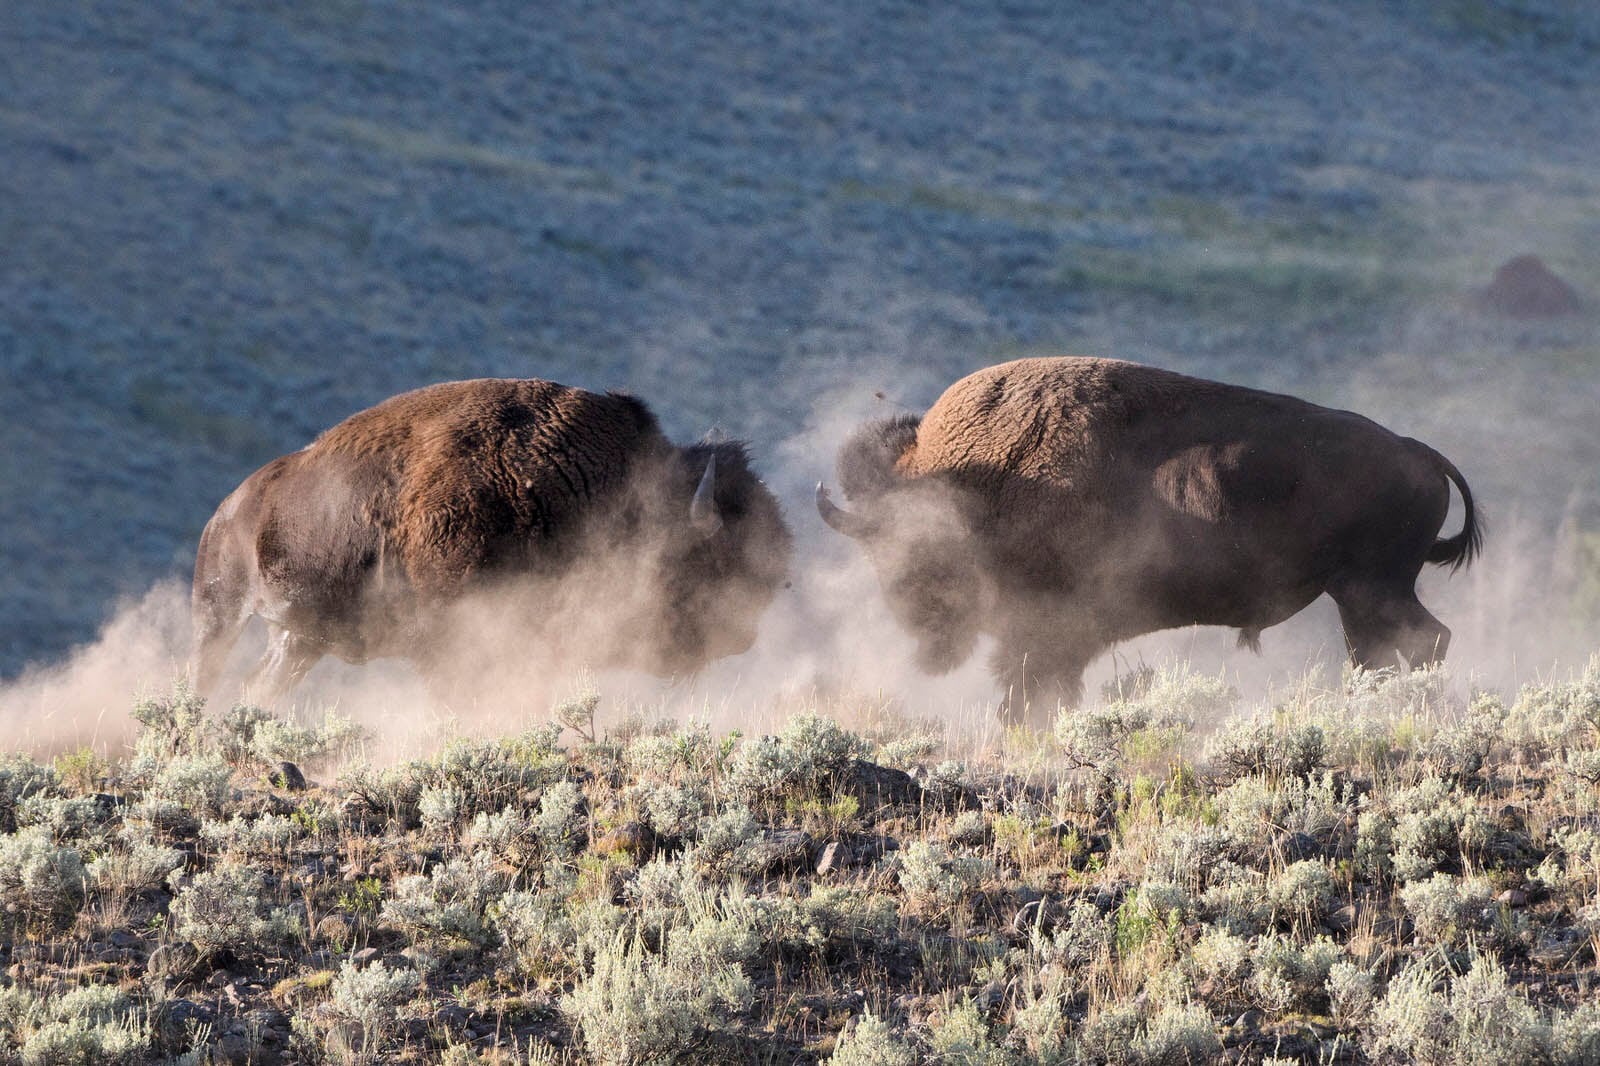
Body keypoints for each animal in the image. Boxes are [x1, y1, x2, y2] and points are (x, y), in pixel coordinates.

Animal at [193, 378, 792, 704]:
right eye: (718, 561)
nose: (744, 634)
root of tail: (227, 509)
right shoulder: (454, 638)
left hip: (298, 640)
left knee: (258, 686)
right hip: (219, 613)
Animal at [817, 357, 1481, 721]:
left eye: (908, 550)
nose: (920, 637)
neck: (981, 481)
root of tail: (1417, 451)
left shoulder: (1044, 631)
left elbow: (1032, 694)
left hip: (1374, 588)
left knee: (1426, 641)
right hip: (1357, 597)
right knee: (1383, 653)